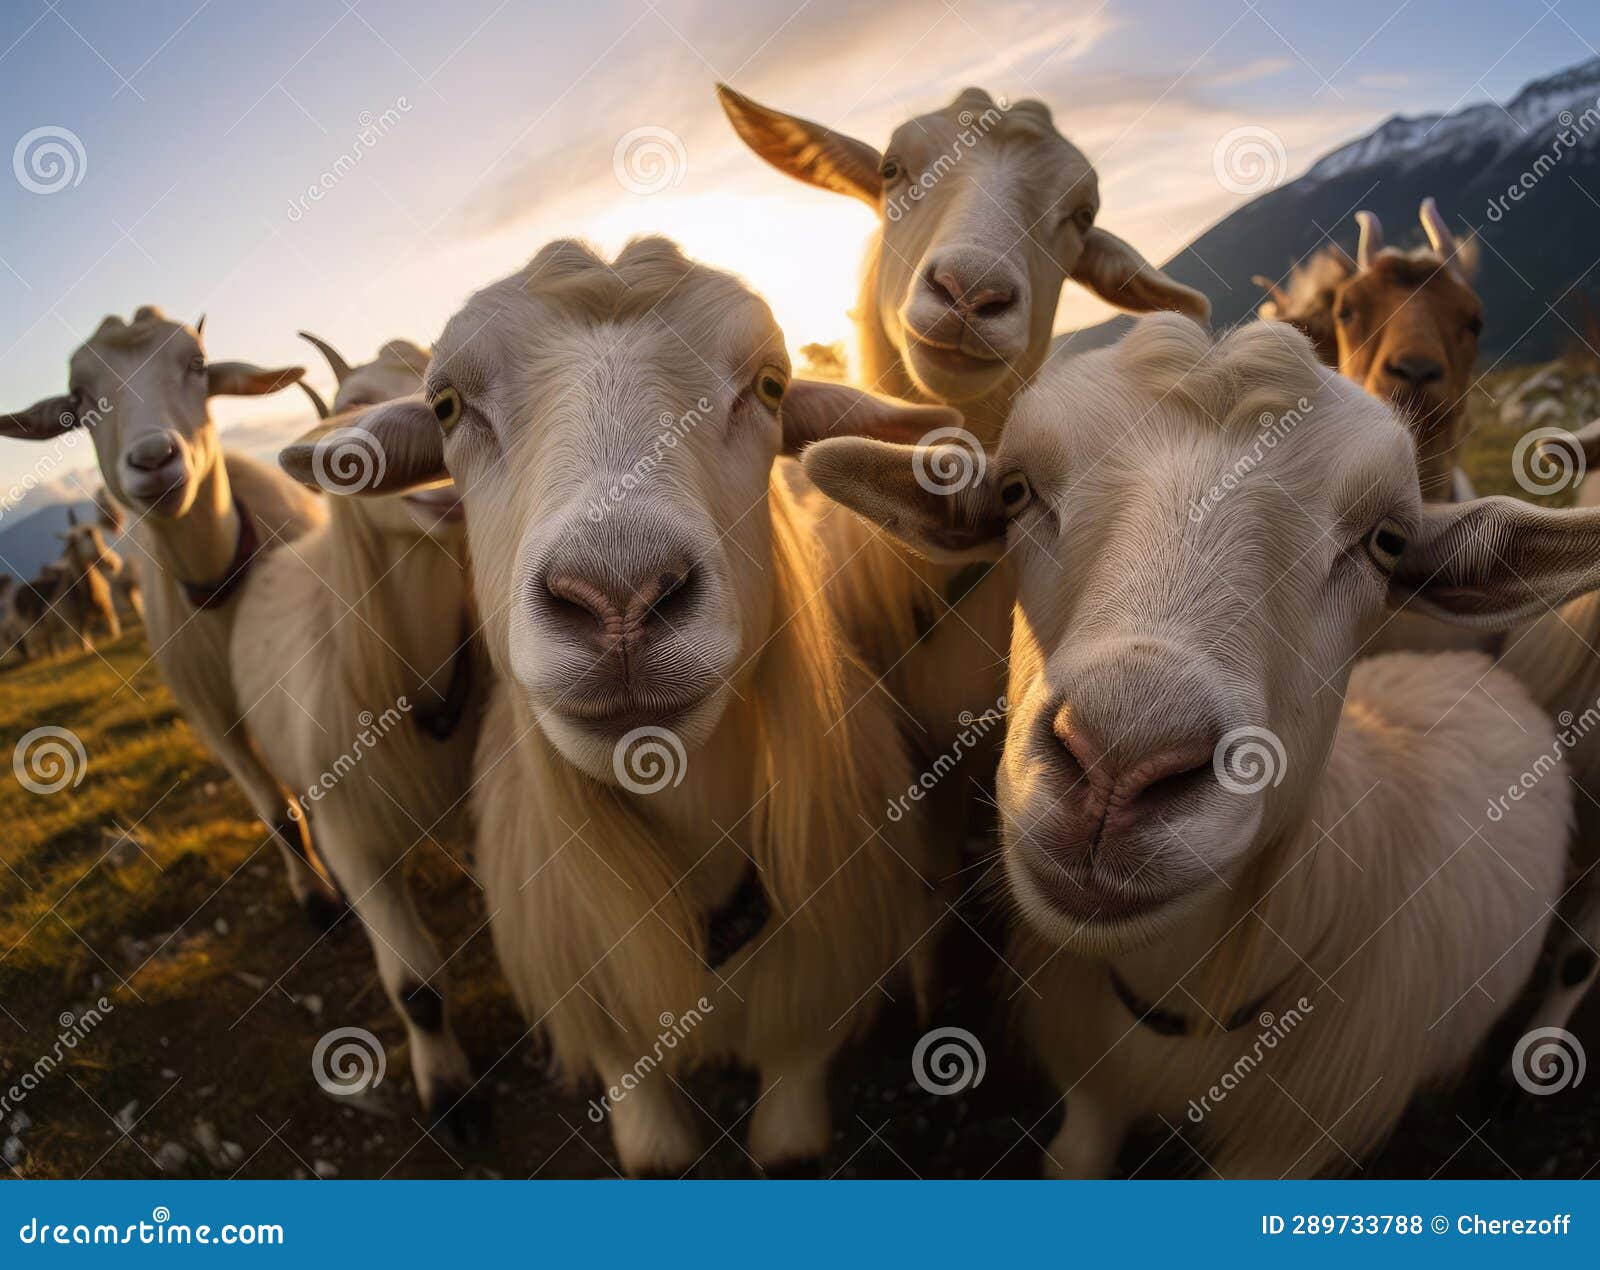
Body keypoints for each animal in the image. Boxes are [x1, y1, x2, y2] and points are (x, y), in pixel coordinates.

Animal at [0, 307, 342, 925]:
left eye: (198, 364)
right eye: (78, 398)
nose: (154, 459)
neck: (221, 589)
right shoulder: (211, 715)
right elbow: (278, 812)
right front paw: (317, 898)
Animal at [311, 236, 950, 1175]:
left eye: (770, 385)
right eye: (448, 406)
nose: (617, 599)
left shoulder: (806, 1019)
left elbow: (790, 1147)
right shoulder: (614, 1036)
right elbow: (656, 1155)